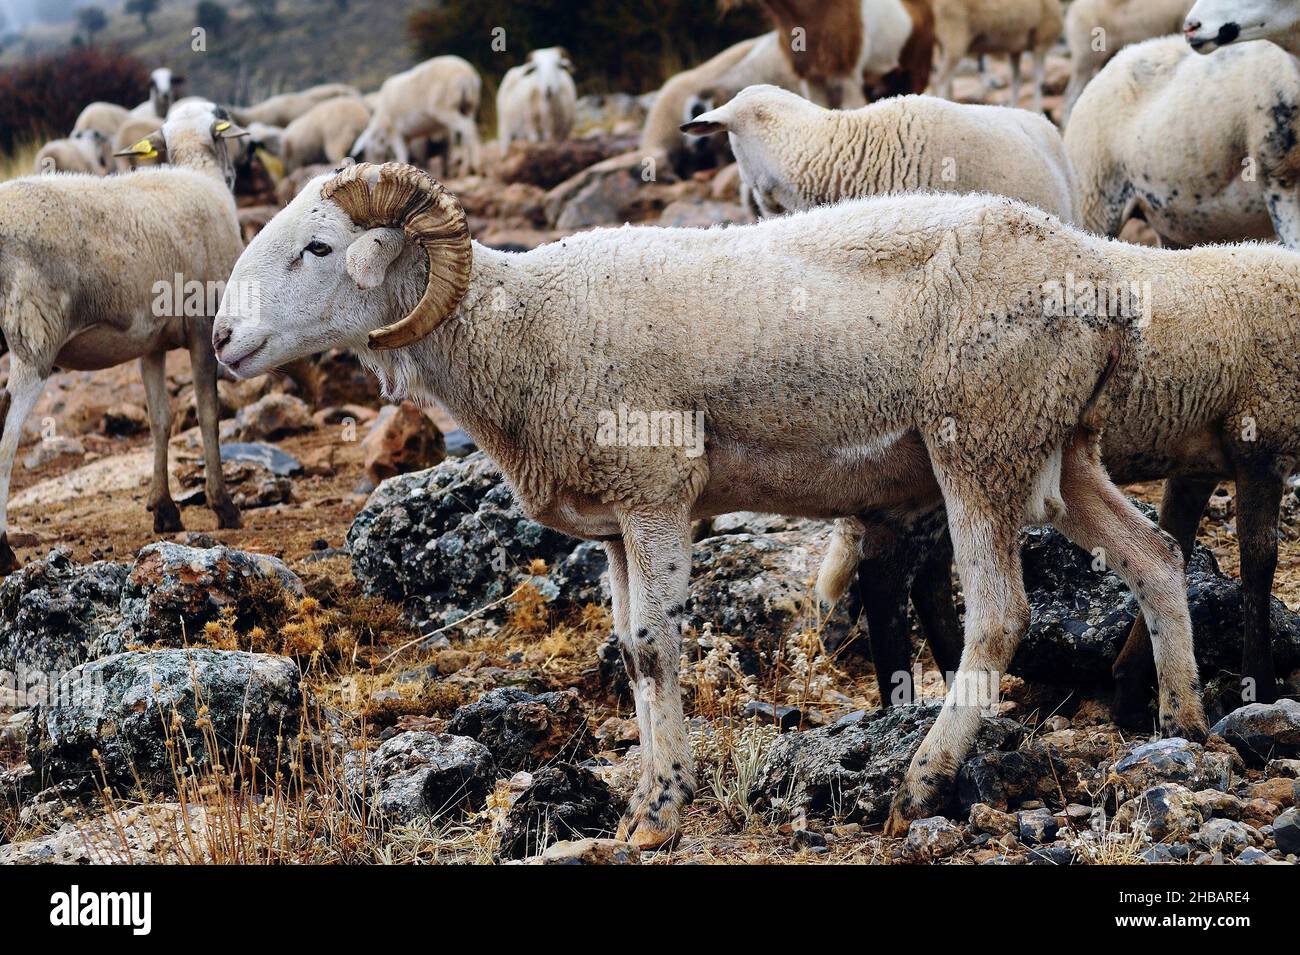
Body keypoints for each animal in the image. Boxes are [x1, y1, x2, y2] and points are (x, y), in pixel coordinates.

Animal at [0, 100, 245, 575]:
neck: (198, 174)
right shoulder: (204, 328)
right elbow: (208, 414)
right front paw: (223, 504)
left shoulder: (150, 344)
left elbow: (160, 420)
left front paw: (165, 510)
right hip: (33, 342)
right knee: (6, 443)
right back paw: (3, 549)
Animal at [210, 161, 1208, 843]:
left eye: (318, 248)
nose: (221, 338)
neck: (521, 327)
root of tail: (1106, 286)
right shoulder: (616, 522)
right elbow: (628, 650)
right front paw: (646, 803)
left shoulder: (657, 489)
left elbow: (656, 648)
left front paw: (658, 814)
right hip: (1058, 447)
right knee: (1156, 557)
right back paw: (1186, 731)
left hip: (983, 441)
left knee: (999, 616)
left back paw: (920, 784)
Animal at [351, 56, 482, 175]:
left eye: (370, 148)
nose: (372, 162)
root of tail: (467, 74)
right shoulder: (407, 138)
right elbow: (406, 155)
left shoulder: (396, 133)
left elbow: (401, 154)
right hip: (469, 106)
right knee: (468, 132)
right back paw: (467, 167)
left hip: (446, 107)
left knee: (468, 129)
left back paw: (473, 166)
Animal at [931, 0, 1065, 113]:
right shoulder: (1040, 45)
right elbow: (1038, 82)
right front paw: (1037, 111)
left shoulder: (1015, 50)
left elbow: (1016, 81)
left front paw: (1014, 108)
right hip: (954, 40)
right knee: (940, 80)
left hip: (944, 45)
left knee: (945, 81)